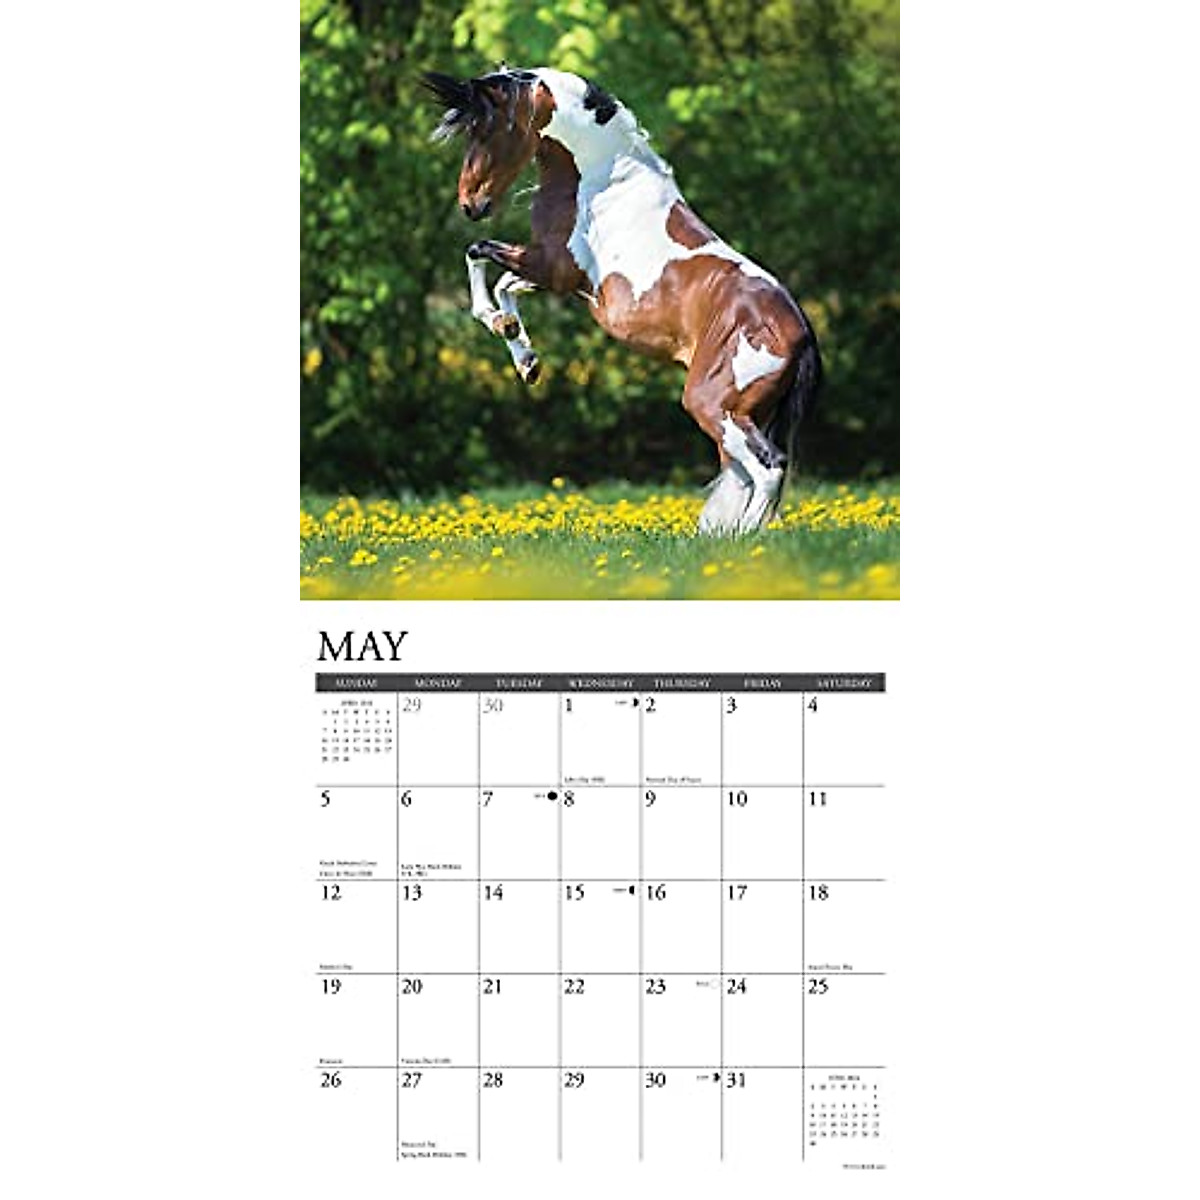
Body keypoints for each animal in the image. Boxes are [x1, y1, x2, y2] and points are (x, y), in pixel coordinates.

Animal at [421, 66, 822, 534]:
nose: (471, 204)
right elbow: (503, 283)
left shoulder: (550, 266)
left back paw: (742, 542)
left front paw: (501, 327)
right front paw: (525, 358)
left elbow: (477, 253)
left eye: (485, 130)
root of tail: (801, 332)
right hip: (740, 414)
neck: (601, 182)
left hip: (713, 404)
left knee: (768, 467)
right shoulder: (560, 278)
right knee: (741, 473)